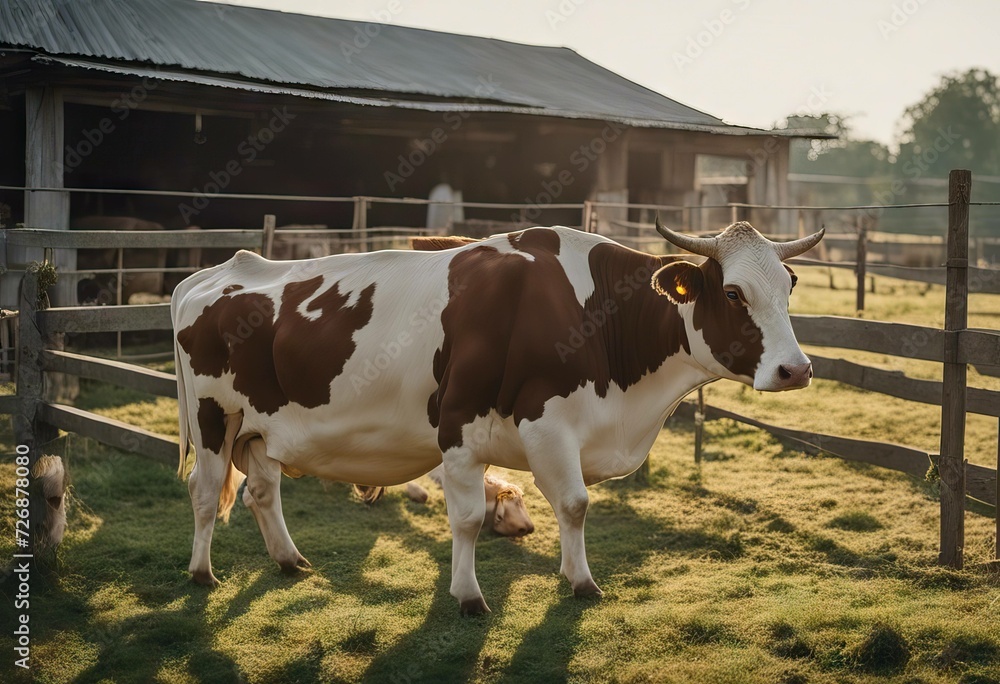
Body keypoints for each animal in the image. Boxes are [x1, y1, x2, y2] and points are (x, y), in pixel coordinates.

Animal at [172, 219, 822, 615]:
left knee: (260, 489)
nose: (796, 370)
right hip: (213, 418)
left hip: (260, 427)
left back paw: (288, 560)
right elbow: (490, 516)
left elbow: (569, 505)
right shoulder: (470, 427)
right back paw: (201, 572)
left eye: (789, 285)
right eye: (734, 293)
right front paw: (470, 595)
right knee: (206, 492)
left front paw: (575, 579)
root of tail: (217, 269)